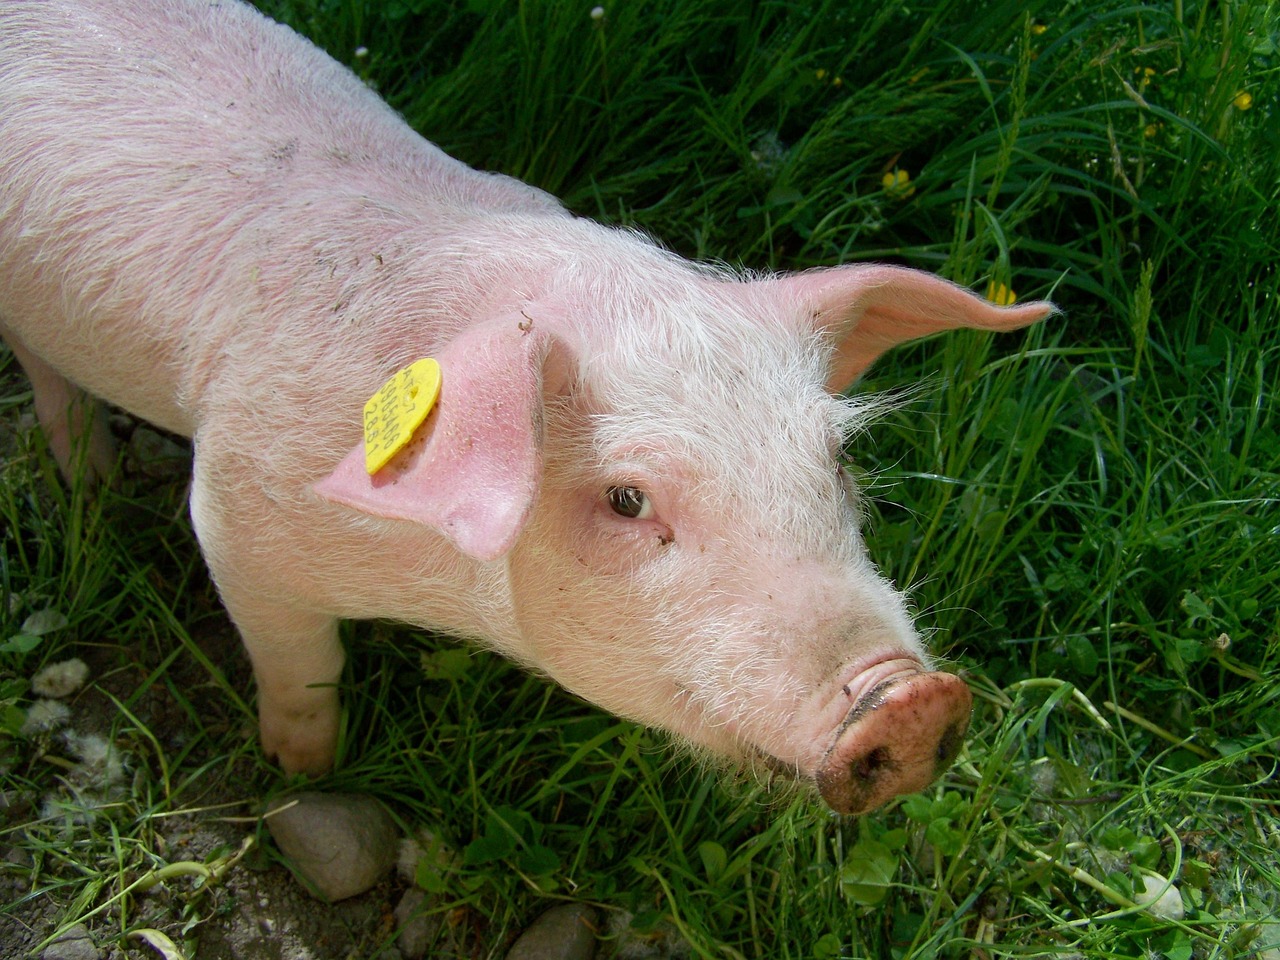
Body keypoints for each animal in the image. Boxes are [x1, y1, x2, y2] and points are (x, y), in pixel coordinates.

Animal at [0, 0, 1053, 816]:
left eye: (834, 460)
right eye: (628, 499)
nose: (913, 699)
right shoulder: (234, 510)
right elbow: (300, 663)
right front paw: (303, 772)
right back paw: (91, 485)